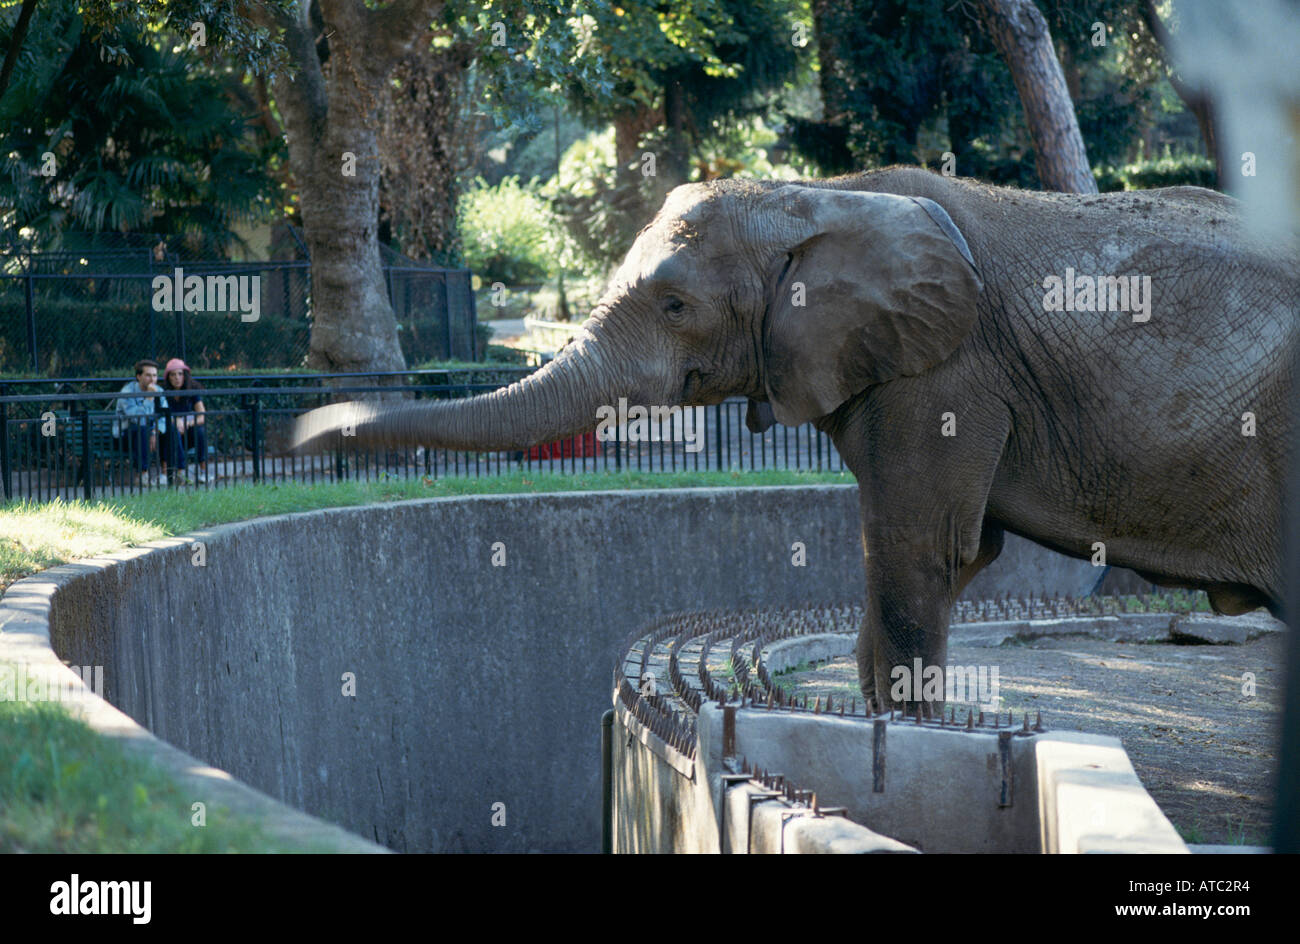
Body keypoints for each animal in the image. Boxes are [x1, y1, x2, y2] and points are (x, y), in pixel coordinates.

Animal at [293, 166, 1297, 715]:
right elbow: (944, 553)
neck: (812, 196)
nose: (303, 431)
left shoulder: (949, 369)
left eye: (675, 305)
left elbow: (921, 550)